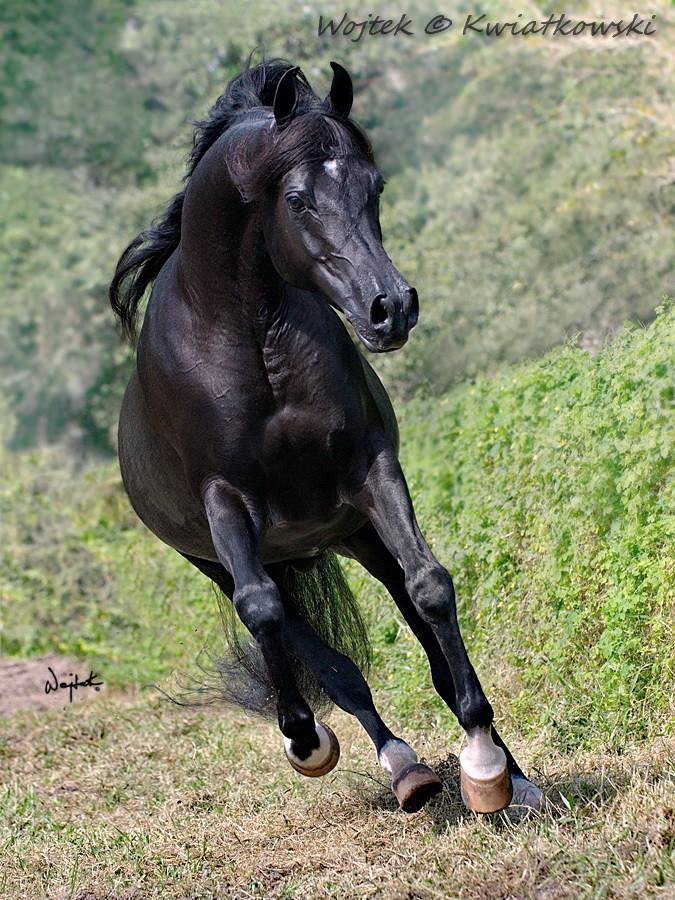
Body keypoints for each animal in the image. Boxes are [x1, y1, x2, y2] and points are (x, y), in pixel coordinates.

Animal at [109, 57, 543, 814]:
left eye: (374, 187)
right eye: (299, 199)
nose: (390, 308)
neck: (251, 340)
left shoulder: (371, 470)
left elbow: (431, 585)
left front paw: (489, 762)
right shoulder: (225, 503)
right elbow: (266, 614)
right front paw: (303, 738)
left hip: (354, 533)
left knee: (421, 632)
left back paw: (496, 777)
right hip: (224, 559)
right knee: (311, 647)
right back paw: (400, 767)